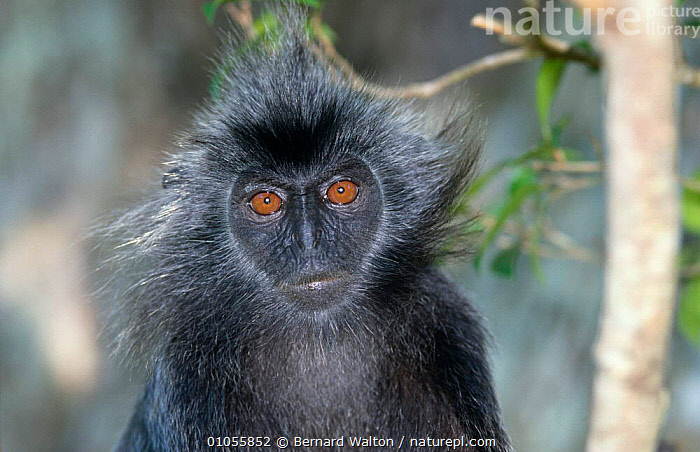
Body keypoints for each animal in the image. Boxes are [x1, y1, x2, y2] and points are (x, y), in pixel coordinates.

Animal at [105, 11, 511, 452]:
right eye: (266, 201)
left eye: (341, 190)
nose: (309, 241)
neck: (319, 338)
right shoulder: (188, 370)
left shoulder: (447, 326)